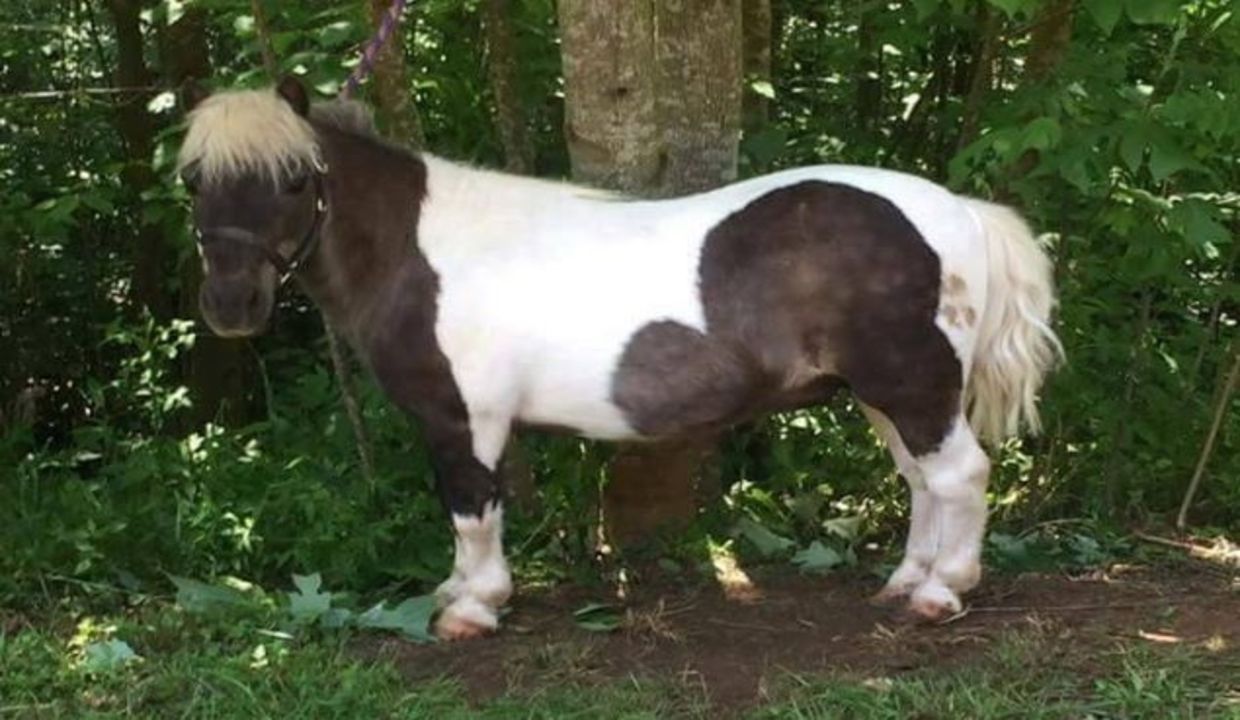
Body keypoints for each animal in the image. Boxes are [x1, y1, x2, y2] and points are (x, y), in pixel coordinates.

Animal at [177, 77, 1062, 640]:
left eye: (296, 179)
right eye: (193, 181)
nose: (231, 304)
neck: (418, 252)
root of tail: (959, 210)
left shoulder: (466, 417)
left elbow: (472, 510)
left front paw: (473, 607)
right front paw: (458, 591)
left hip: (914, 385)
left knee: (959, 476)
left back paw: (943, 593)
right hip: (885, 394)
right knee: (920, 481)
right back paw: (907, 580)